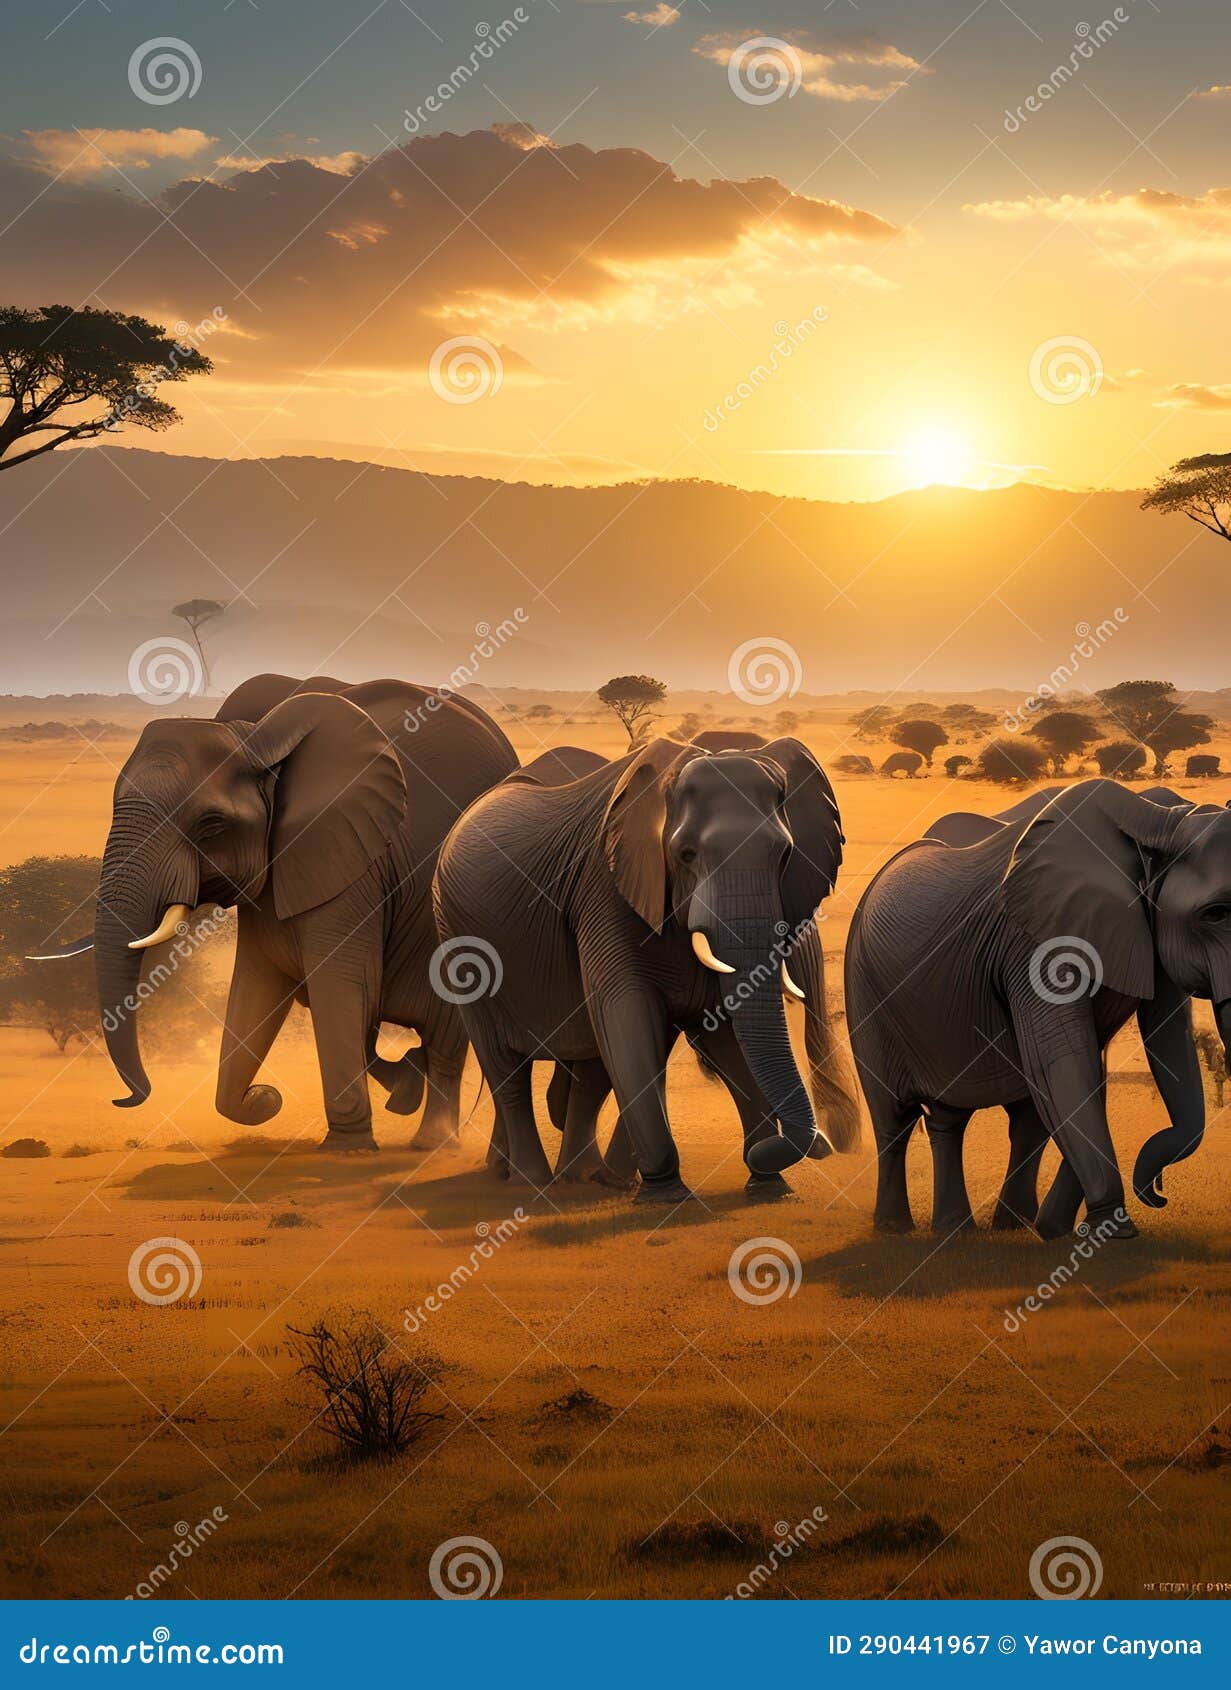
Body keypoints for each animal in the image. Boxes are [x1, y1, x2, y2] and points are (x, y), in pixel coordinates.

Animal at [78, 673, 517, 1150]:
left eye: (211, 825)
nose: (125, 1100)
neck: (255, 740)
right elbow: (258, 983)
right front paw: (260, 1104)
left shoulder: (348, 853)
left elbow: (340, 980)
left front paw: (345, 1146)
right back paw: (408, 1090)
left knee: (443, 1032)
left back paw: (432, 1141)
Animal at [433, 736, 860, 1200]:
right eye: (686, 854)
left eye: (784, 855)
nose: (820, 1144)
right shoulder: (606, 888)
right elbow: (628, 1014)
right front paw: (666, 1192)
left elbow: (719, 1030)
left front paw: (768, 1186)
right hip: (458, 942)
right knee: (505, 1068)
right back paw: (533, 1180)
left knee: (590, 1068)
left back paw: (580, 1176)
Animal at [845, 778, 1231, 1238]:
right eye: (1215, 914)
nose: (1158, 1192)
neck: (1158, 819)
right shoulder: (1034, 944)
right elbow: (1064, 1061)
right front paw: (1108, 1231)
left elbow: (1126, 1058)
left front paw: (1058, 1229)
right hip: (864, 991)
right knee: (893, 1118)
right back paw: (896, 1228)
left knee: (969, 1117)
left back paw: (990, 1227)